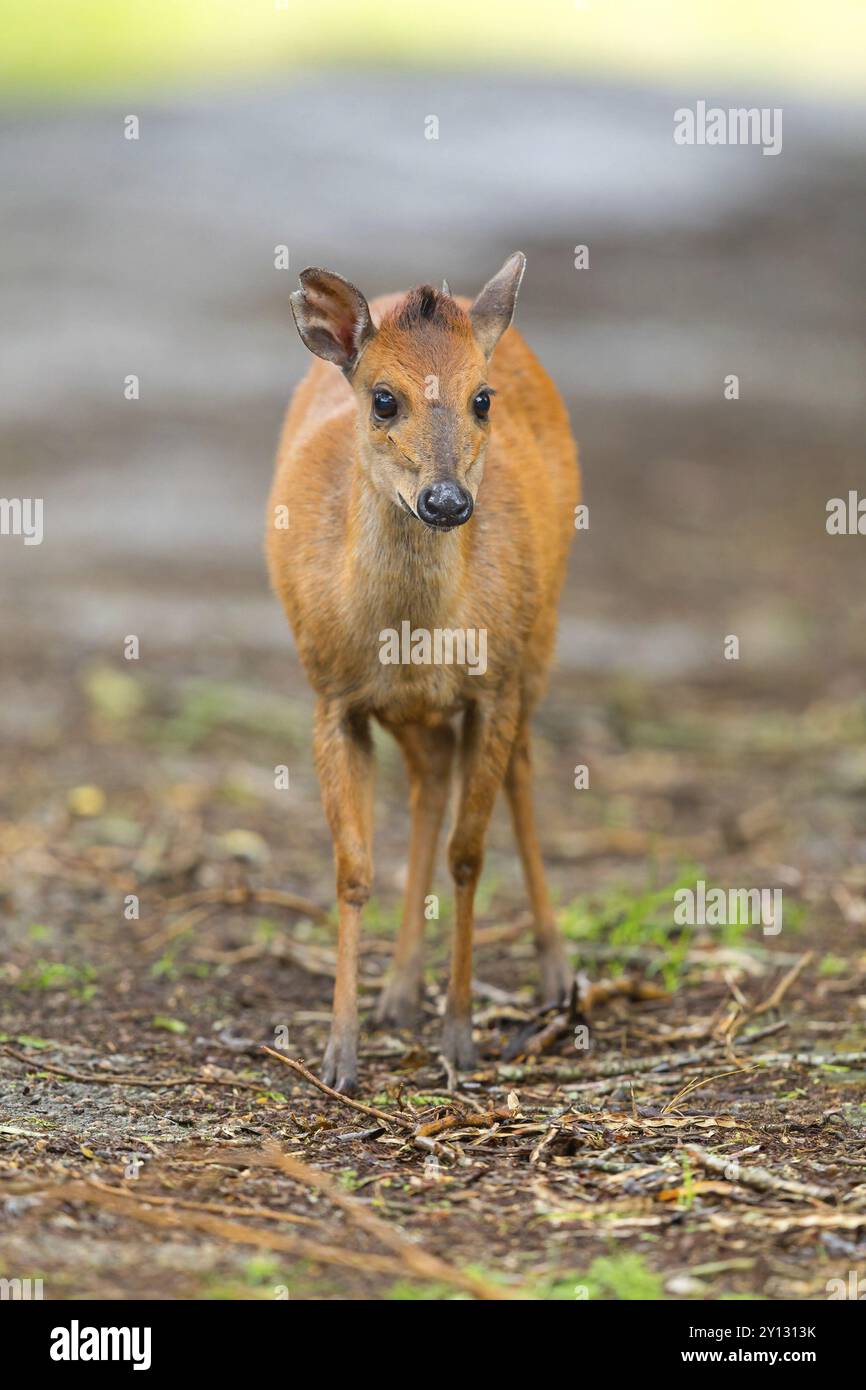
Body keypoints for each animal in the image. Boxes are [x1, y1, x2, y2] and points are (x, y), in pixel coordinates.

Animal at [267, 253, 580, 1093]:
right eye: (383, 398)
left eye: (482, 397)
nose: (446, 500)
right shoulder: (330, 697)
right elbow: (352, 869)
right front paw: (340, 1055)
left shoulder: (493, 686)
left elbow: (469, 856)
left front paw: (461, 1040)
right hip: (416, 715)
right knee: (430, 782)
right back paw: (400, 993)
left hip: (539, 640)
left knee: (522, 773)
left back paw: (555, 976)